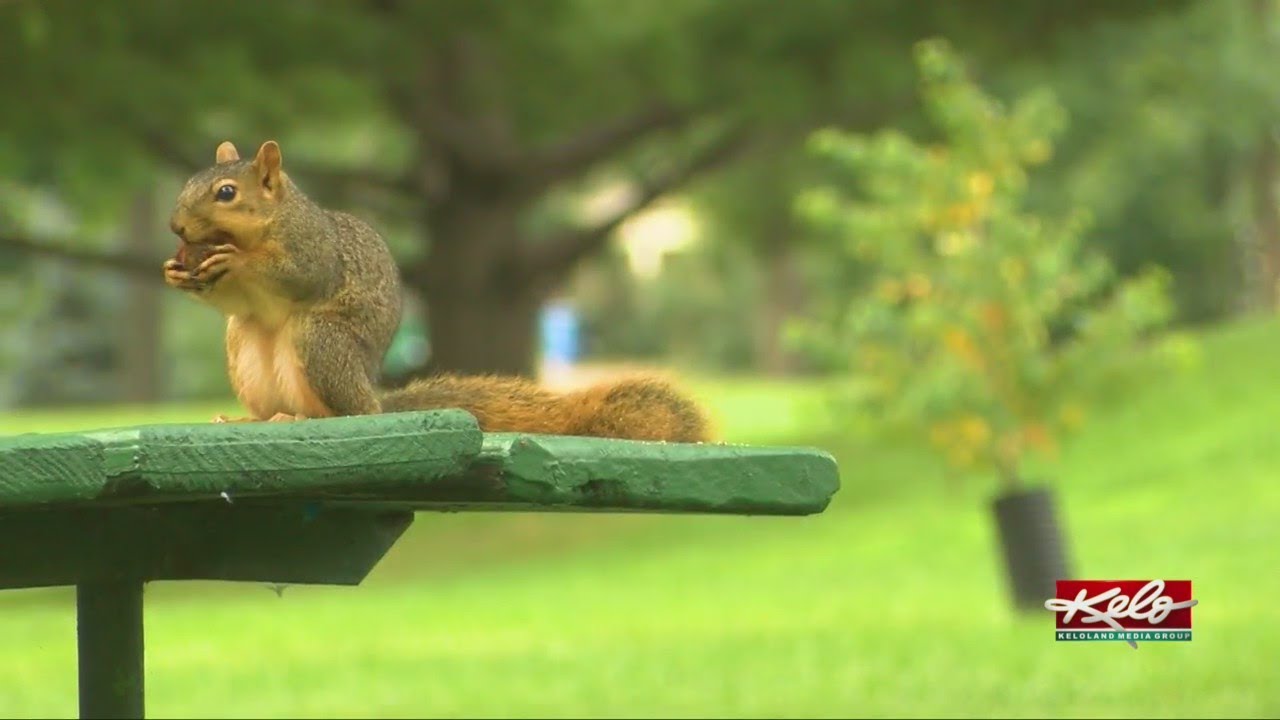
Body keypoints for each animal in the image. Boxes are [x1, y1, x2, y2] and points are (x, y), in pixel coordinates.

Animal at [162, 139, 711, 444]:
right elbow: (234, 299)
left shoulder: (313, 249)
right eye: (187, 183)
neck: (263, 226)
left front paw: (237, 261)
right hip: (243, 342)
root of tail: (373, 396)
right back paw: (249, 419)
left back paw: (295, 419)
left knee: (342, 413)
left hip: (320, 340)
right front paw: (177, 272)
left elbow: (299, 275)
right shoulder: (241, 301)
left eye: (227, 193)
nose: (176, 227)